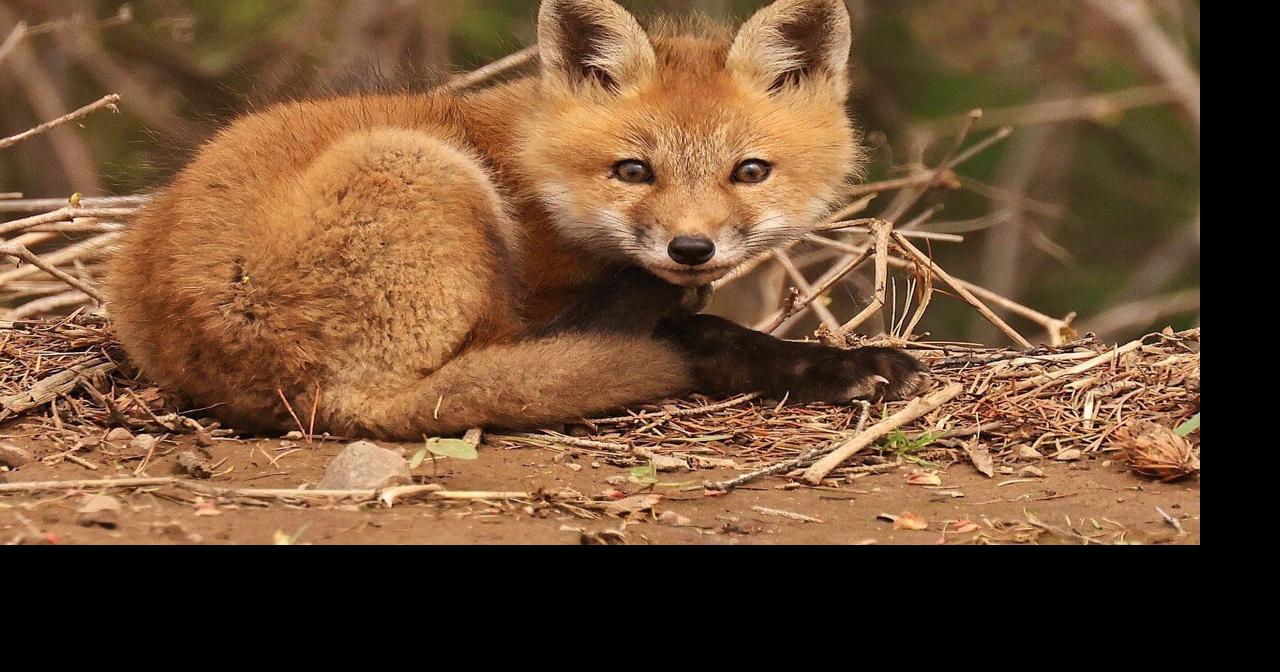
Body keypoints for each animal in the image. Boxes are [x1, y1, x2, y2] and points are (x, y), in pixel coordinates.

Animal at [106, 0, 927, 440]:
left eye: (749, 171)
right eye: (634, 171)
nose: (689, 249)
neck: (534, 177)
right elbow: (704, 329)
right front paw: (826, 365)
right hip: (425, 172)